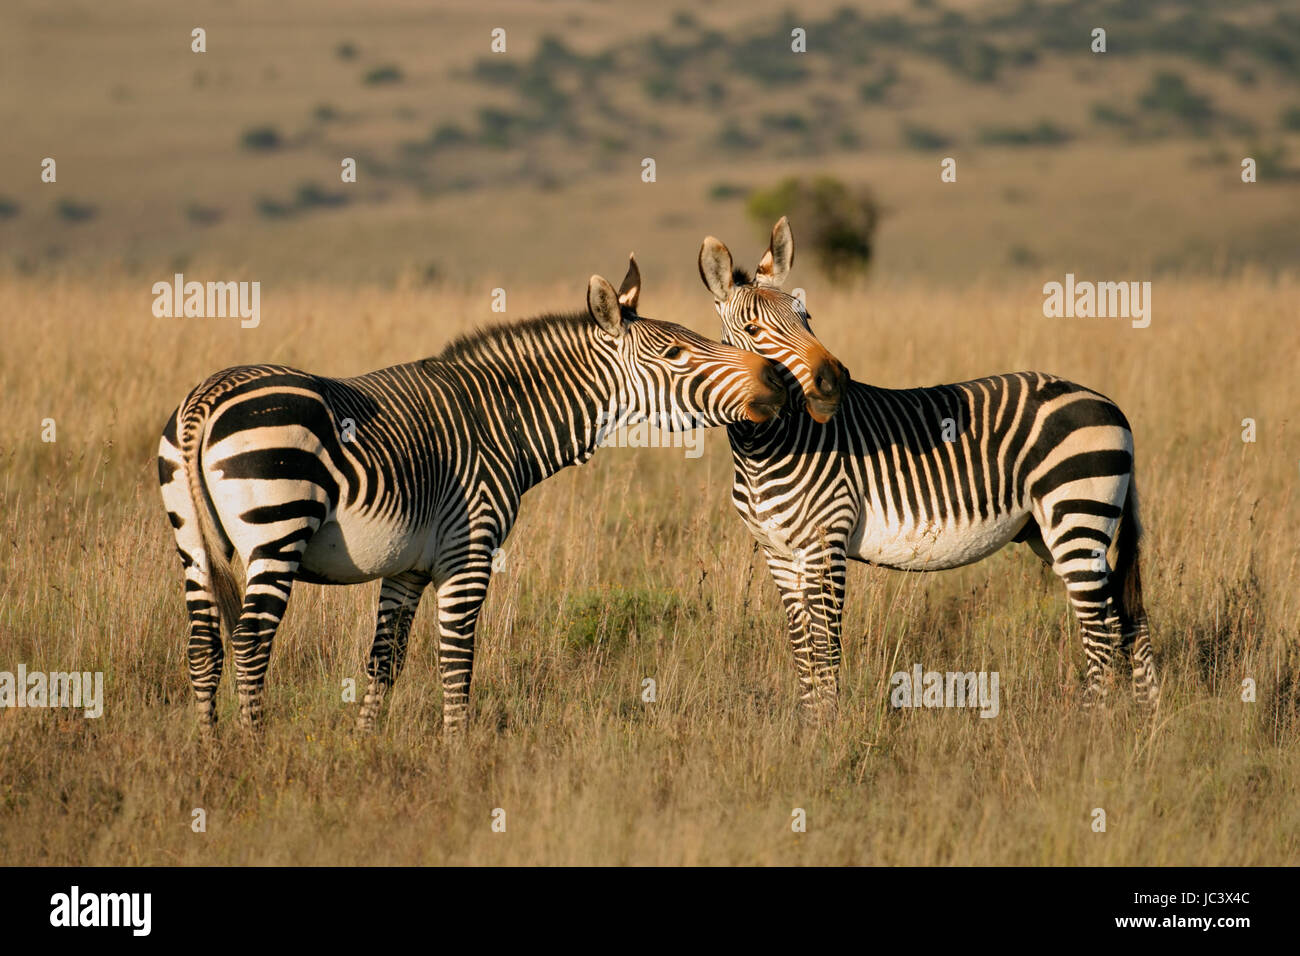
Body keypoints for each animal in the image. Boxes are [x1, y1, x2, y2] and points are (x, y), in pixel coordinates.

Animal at [157, 257, 786, 735]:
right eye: (678, 355)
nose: (774, 383)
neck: (498, 421)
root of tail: (203, 402)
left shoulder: (407, 565)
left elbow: (385, 660)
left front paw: (365, 746)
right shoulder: (468, 549)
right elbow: (457, 658)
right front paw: (456, 752)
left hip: (193, 545)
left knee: (202, 646)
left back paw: (211, 751)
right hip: (278, 527)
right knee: (249, 643)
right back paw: (254, 749)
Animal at [697, 217, 1159, 722]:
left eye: (807, 318)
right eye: (752, 328)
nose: (834, 381)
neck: (761, 448)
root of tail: (1108, 404)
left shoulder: (826, 540)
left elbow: (826, 645)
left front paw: (828, 726)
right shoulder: (778, 553)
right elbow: (802, 647)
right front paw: (810, 721)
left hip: (1077, 513)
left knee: (1100, 628)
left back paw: (1091, 722)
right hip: (1052, 530)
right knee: (1124, 613)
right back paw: (1144, 715)